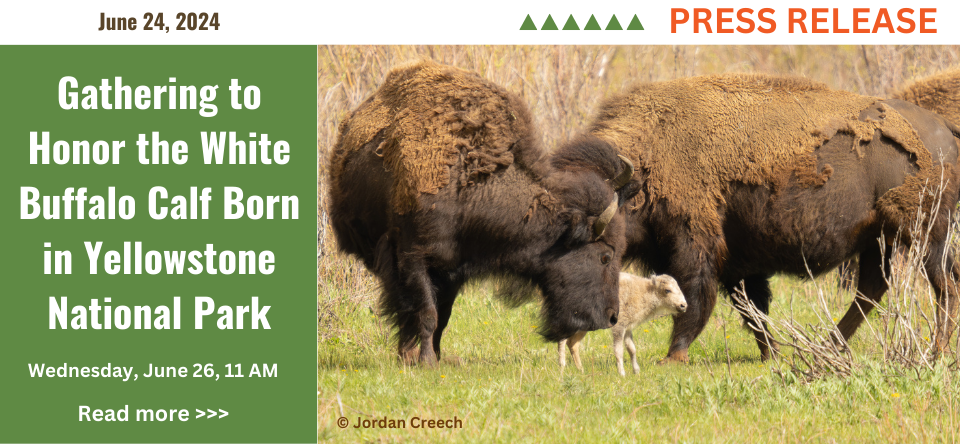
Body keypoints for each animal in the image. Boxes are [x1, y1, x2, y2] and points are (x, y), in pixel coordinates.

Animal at [328, 61, 639, 365]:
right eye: (605, 256)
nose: (611, 317)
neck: (470, 184)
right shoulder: (414, 257)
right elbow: (427, 313)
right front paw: (427, 362)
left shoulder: (453, 270)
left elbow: (442, 316)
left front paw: (437, 358)